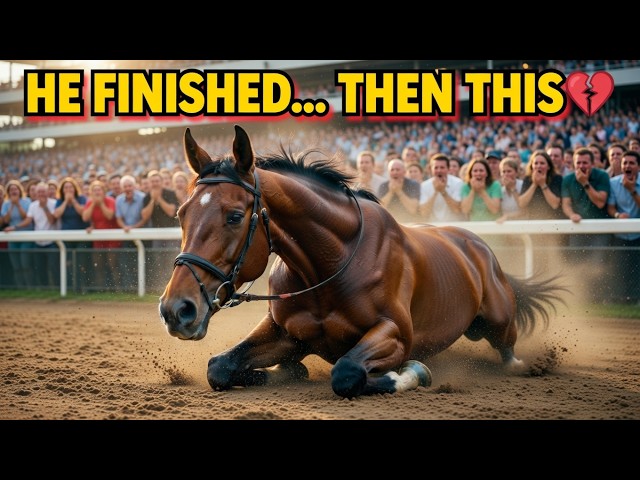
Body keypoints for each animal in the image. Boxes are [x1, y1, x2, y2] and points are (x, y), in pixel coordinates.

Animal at [159, 125, 566, 398]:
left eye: (233, 216)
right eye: (181, 214)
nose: (176, 310)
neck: (327, 268)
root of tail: (477, 245)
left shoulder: (395, 333)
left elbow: (348, 371)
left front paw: (411, 374)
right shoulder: (283, 331)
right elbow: (219, 367)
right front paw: (288, 370)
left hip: (498, 324)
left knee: (509, 354)